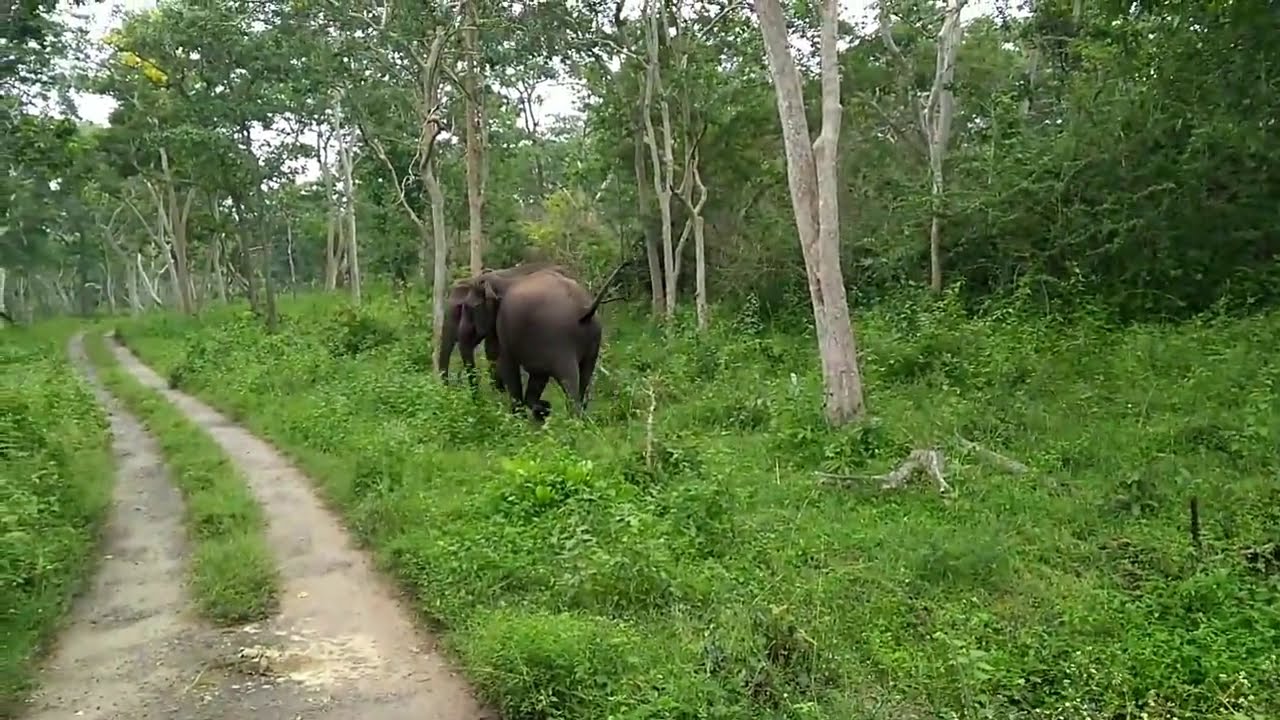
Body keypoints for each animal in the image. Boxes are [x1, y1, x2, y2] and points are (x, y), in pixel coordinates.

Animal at [464, 261, 627, 421]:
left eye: (469, 307)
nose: (479, 405)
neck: (502, 277)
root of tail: (584, 308)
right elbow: (537, 376)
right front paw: (540, 409)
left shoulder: (507, 329)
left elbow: (507, 365)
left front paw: (520, 420)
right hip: (593, 337)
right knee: (585, 377)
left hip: (560, 340)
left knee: (569, 382)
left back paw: (573, 423)